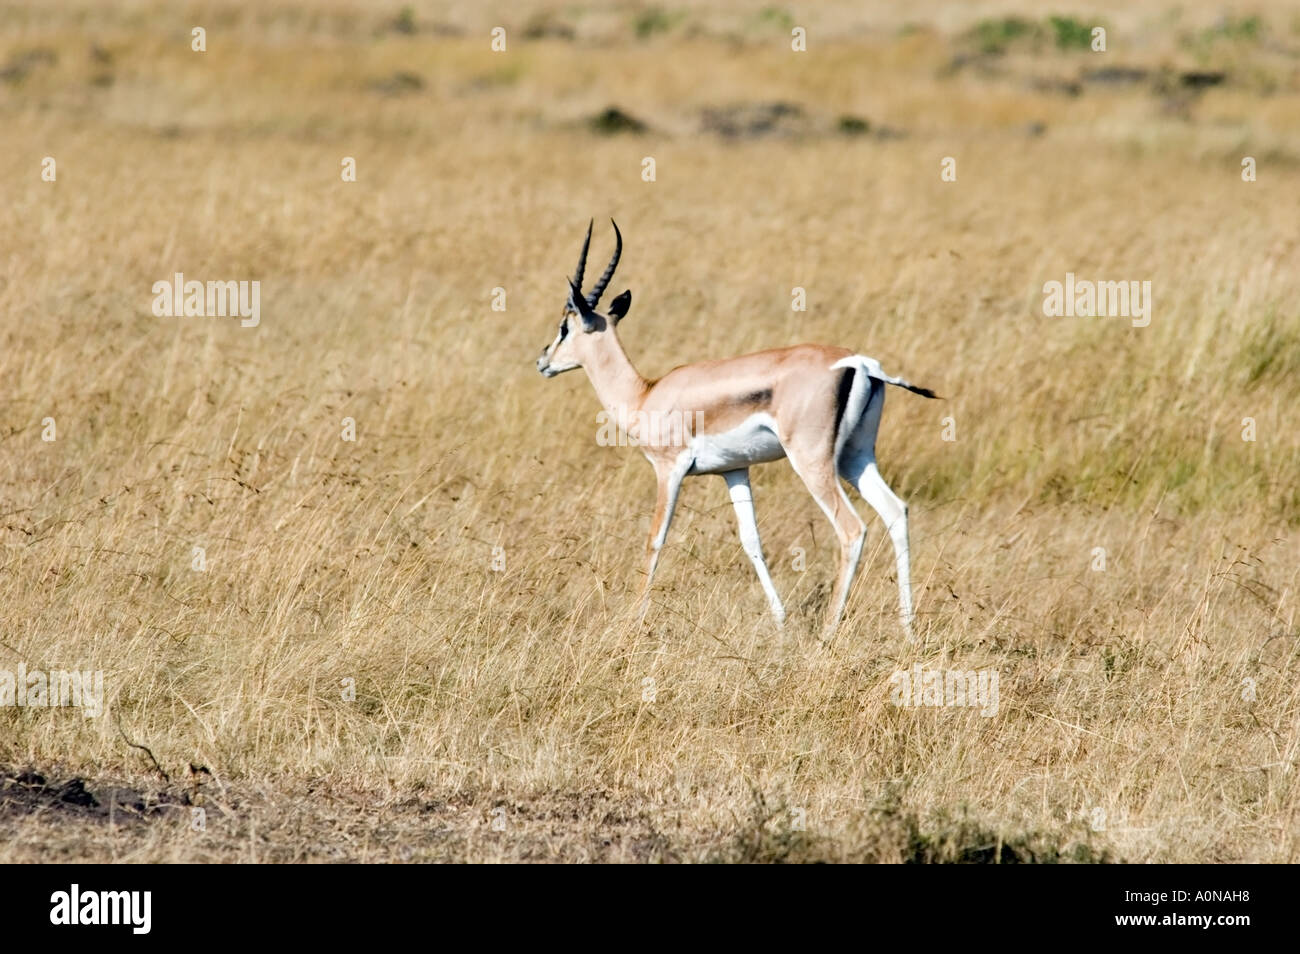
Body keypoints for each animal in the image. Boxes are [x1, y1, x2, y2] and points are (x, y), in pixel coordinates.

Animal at [536, 221, 938, 640]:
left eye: (564, 326)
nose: (543, 360)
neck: (645, 395)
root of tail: (859, 363)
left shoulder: (669, 469)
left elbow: (655, 538)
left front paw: (633, 618)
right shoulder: (734, 470)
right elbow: (751, 541)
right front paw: (780, 620)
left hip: (813, 462)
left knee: (852, 529)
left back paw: (828, 631)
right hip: (855, 458)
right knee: (896, 512)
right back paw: (907, 628)